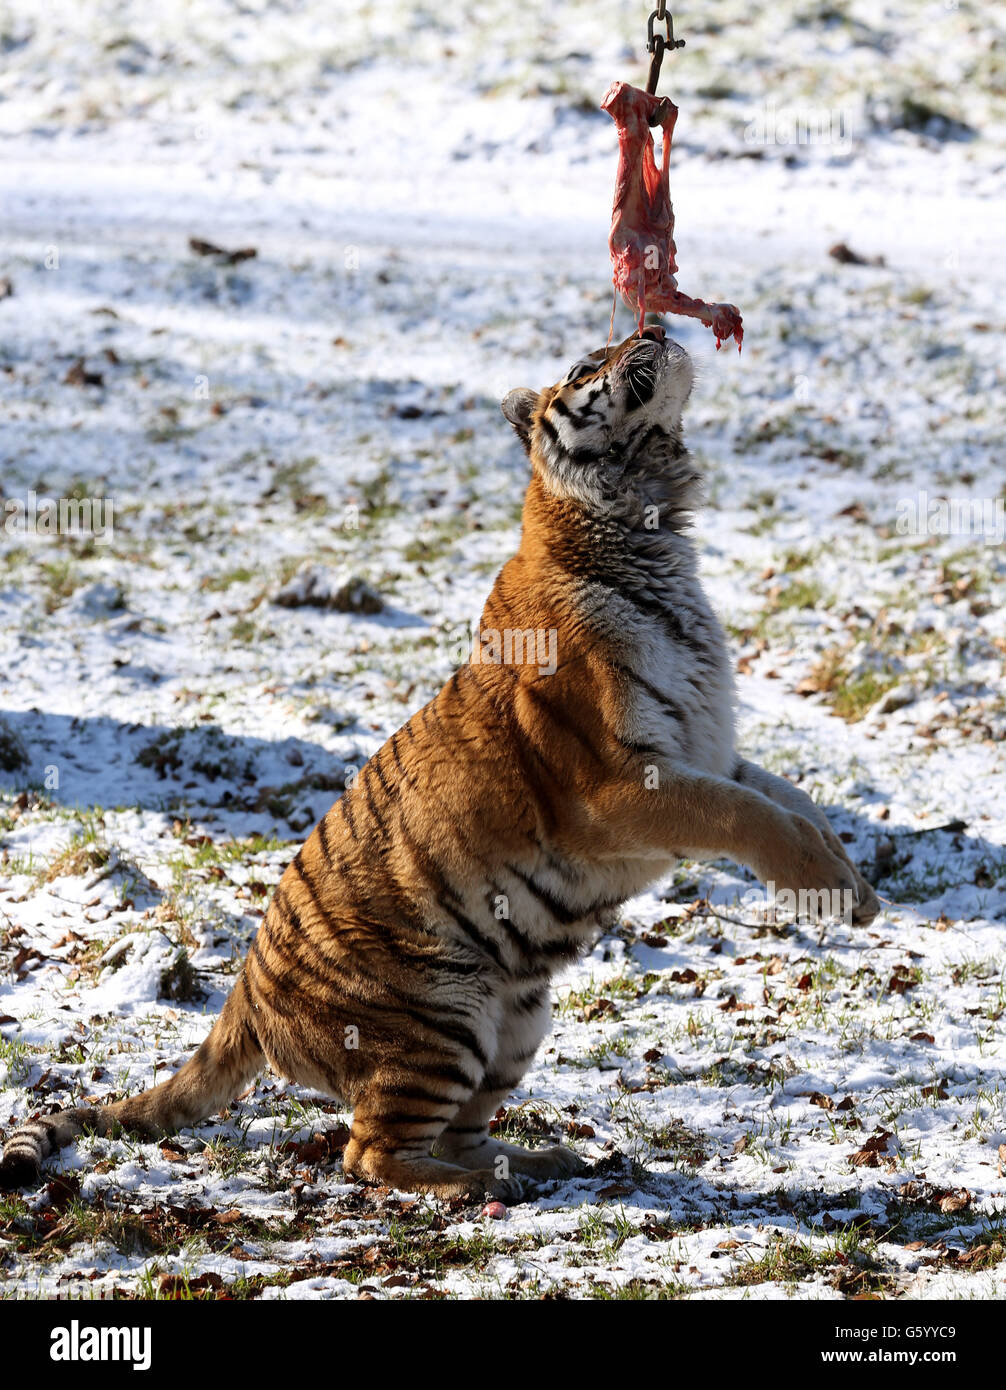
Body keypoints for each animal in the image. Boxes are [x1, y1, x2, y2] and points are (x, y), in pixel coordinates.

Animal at [0, 325, 878, 1202]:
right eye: (585, 365)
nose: (655, 329)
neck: (648, 529)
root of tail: (242, 994)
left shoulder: (708, 744)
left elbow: (796, 803)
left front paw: (855, 889)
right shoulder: (620, 784)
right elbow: (751, 815)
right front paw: (837, 893)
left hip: (518, 1019)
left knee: (459, 1134)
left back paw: (542, 1163)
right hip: (442, 1019)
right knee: (369, 1154)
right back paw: (477, 1189)